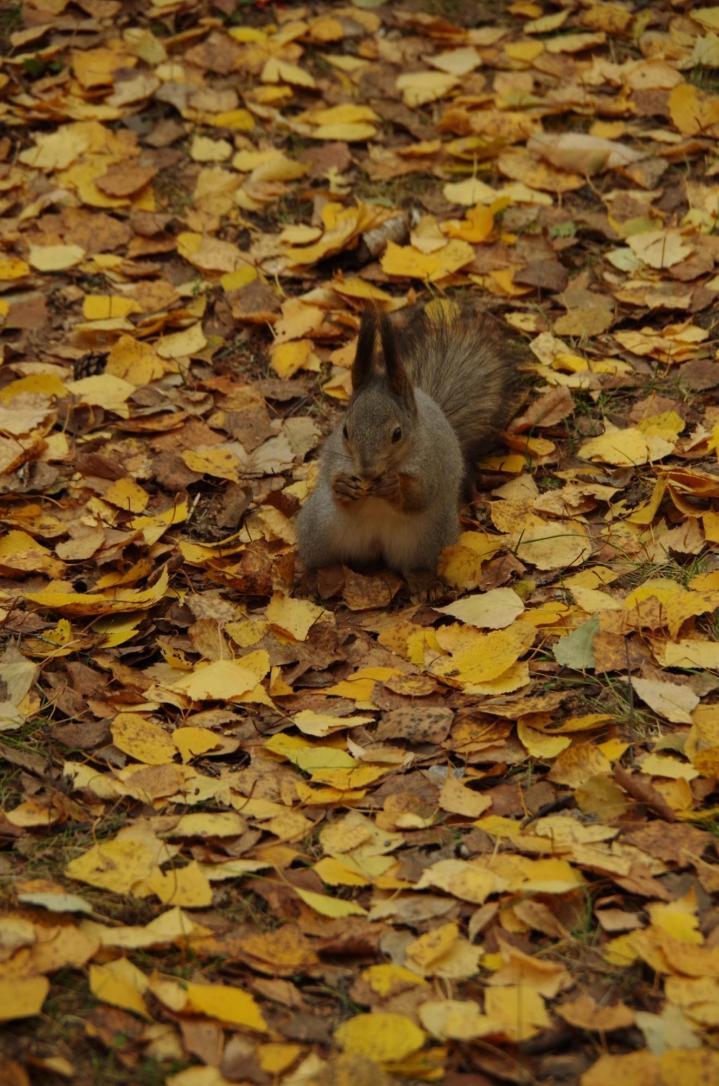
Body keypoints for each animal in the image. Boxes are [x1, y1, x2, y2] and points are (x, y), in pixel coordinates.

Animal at [295, 304, 521, 577]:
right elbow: (338, 488)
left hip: (431, 538)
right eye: (345, 431)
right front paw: (343, 486)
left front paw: (395, 487)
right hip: (320, 526)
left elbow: (420, 495)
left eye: (397, 434)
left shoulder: (431, 466)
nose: (366, 471)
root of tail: (377, 544)